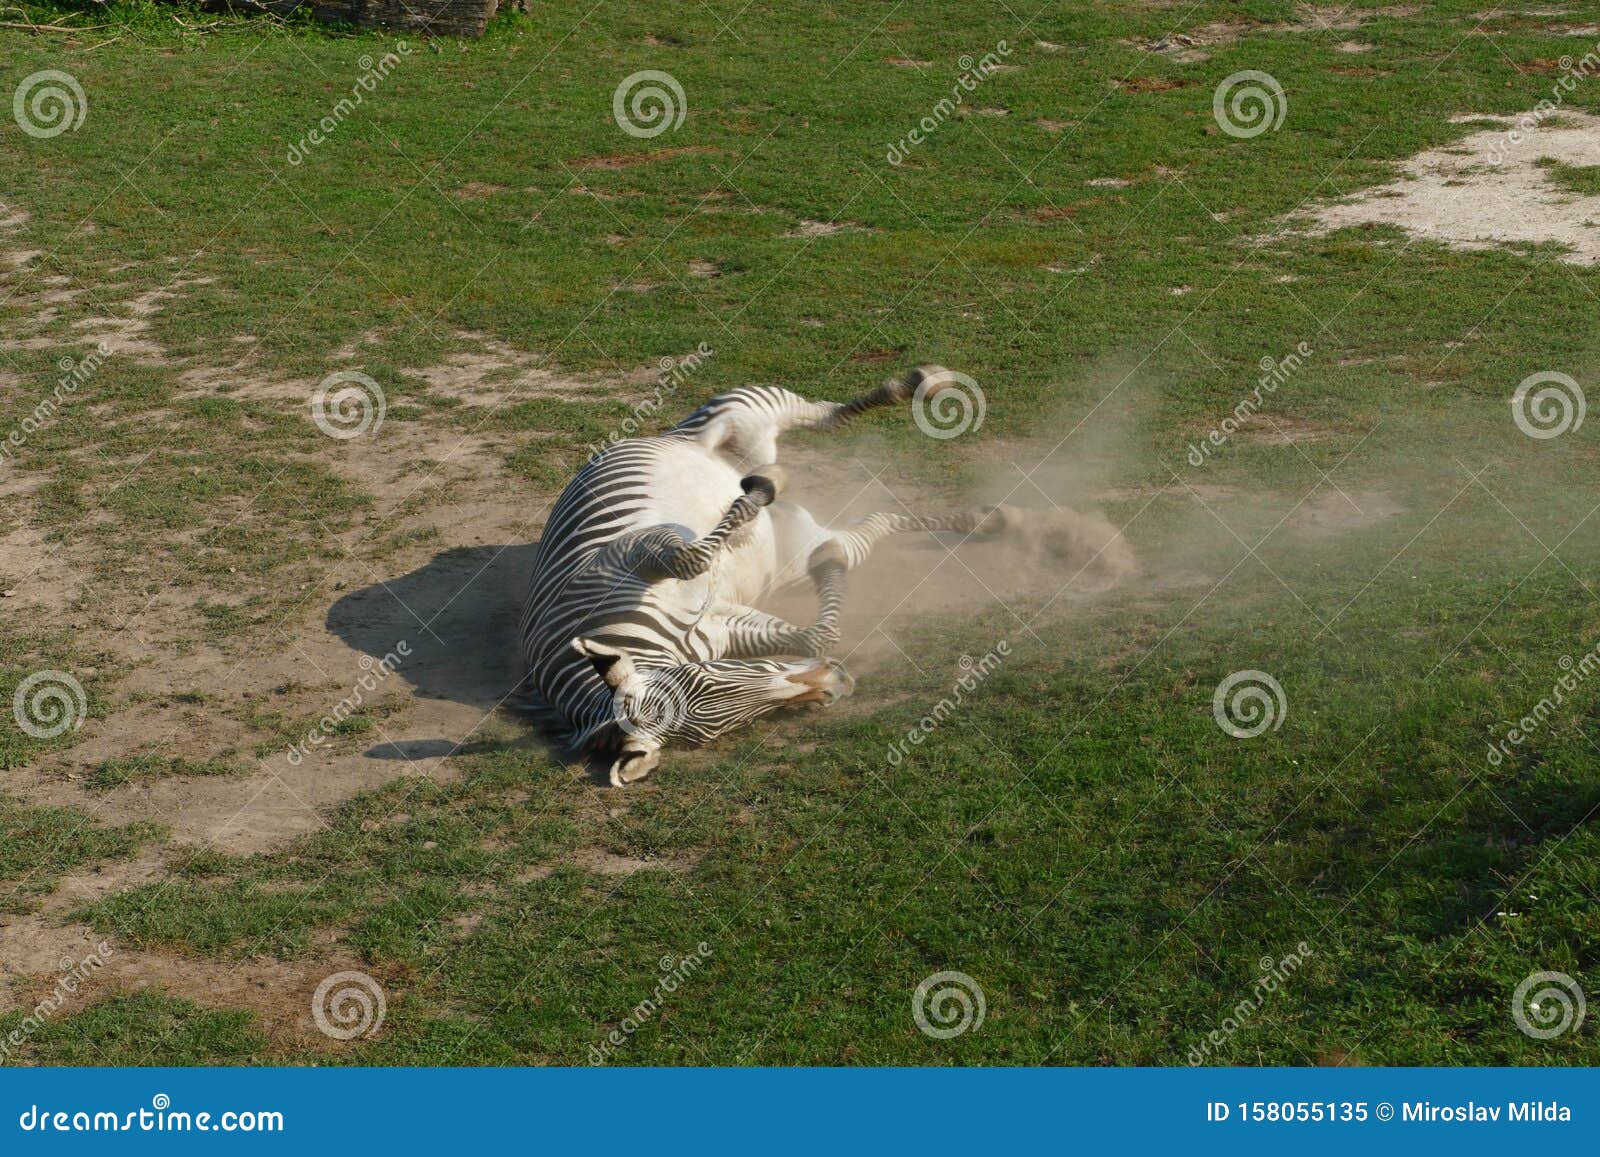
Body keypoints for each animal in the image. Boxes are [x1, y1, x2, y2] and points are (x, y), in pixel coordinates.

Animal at [518, 366, 1020, 786]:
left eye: (703, 677)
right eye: (724, 726)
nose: (837, 684)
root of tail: (673, 435)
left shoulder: (634, 553)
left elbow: (692, 560)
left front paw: (755, 498)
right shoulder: (725, 625)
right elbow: (816, 635)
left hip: (743, 413)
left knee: (820, 415)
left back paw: (921, 384)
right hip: (794, 556)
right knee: (868, 527)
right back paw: (983, 520)